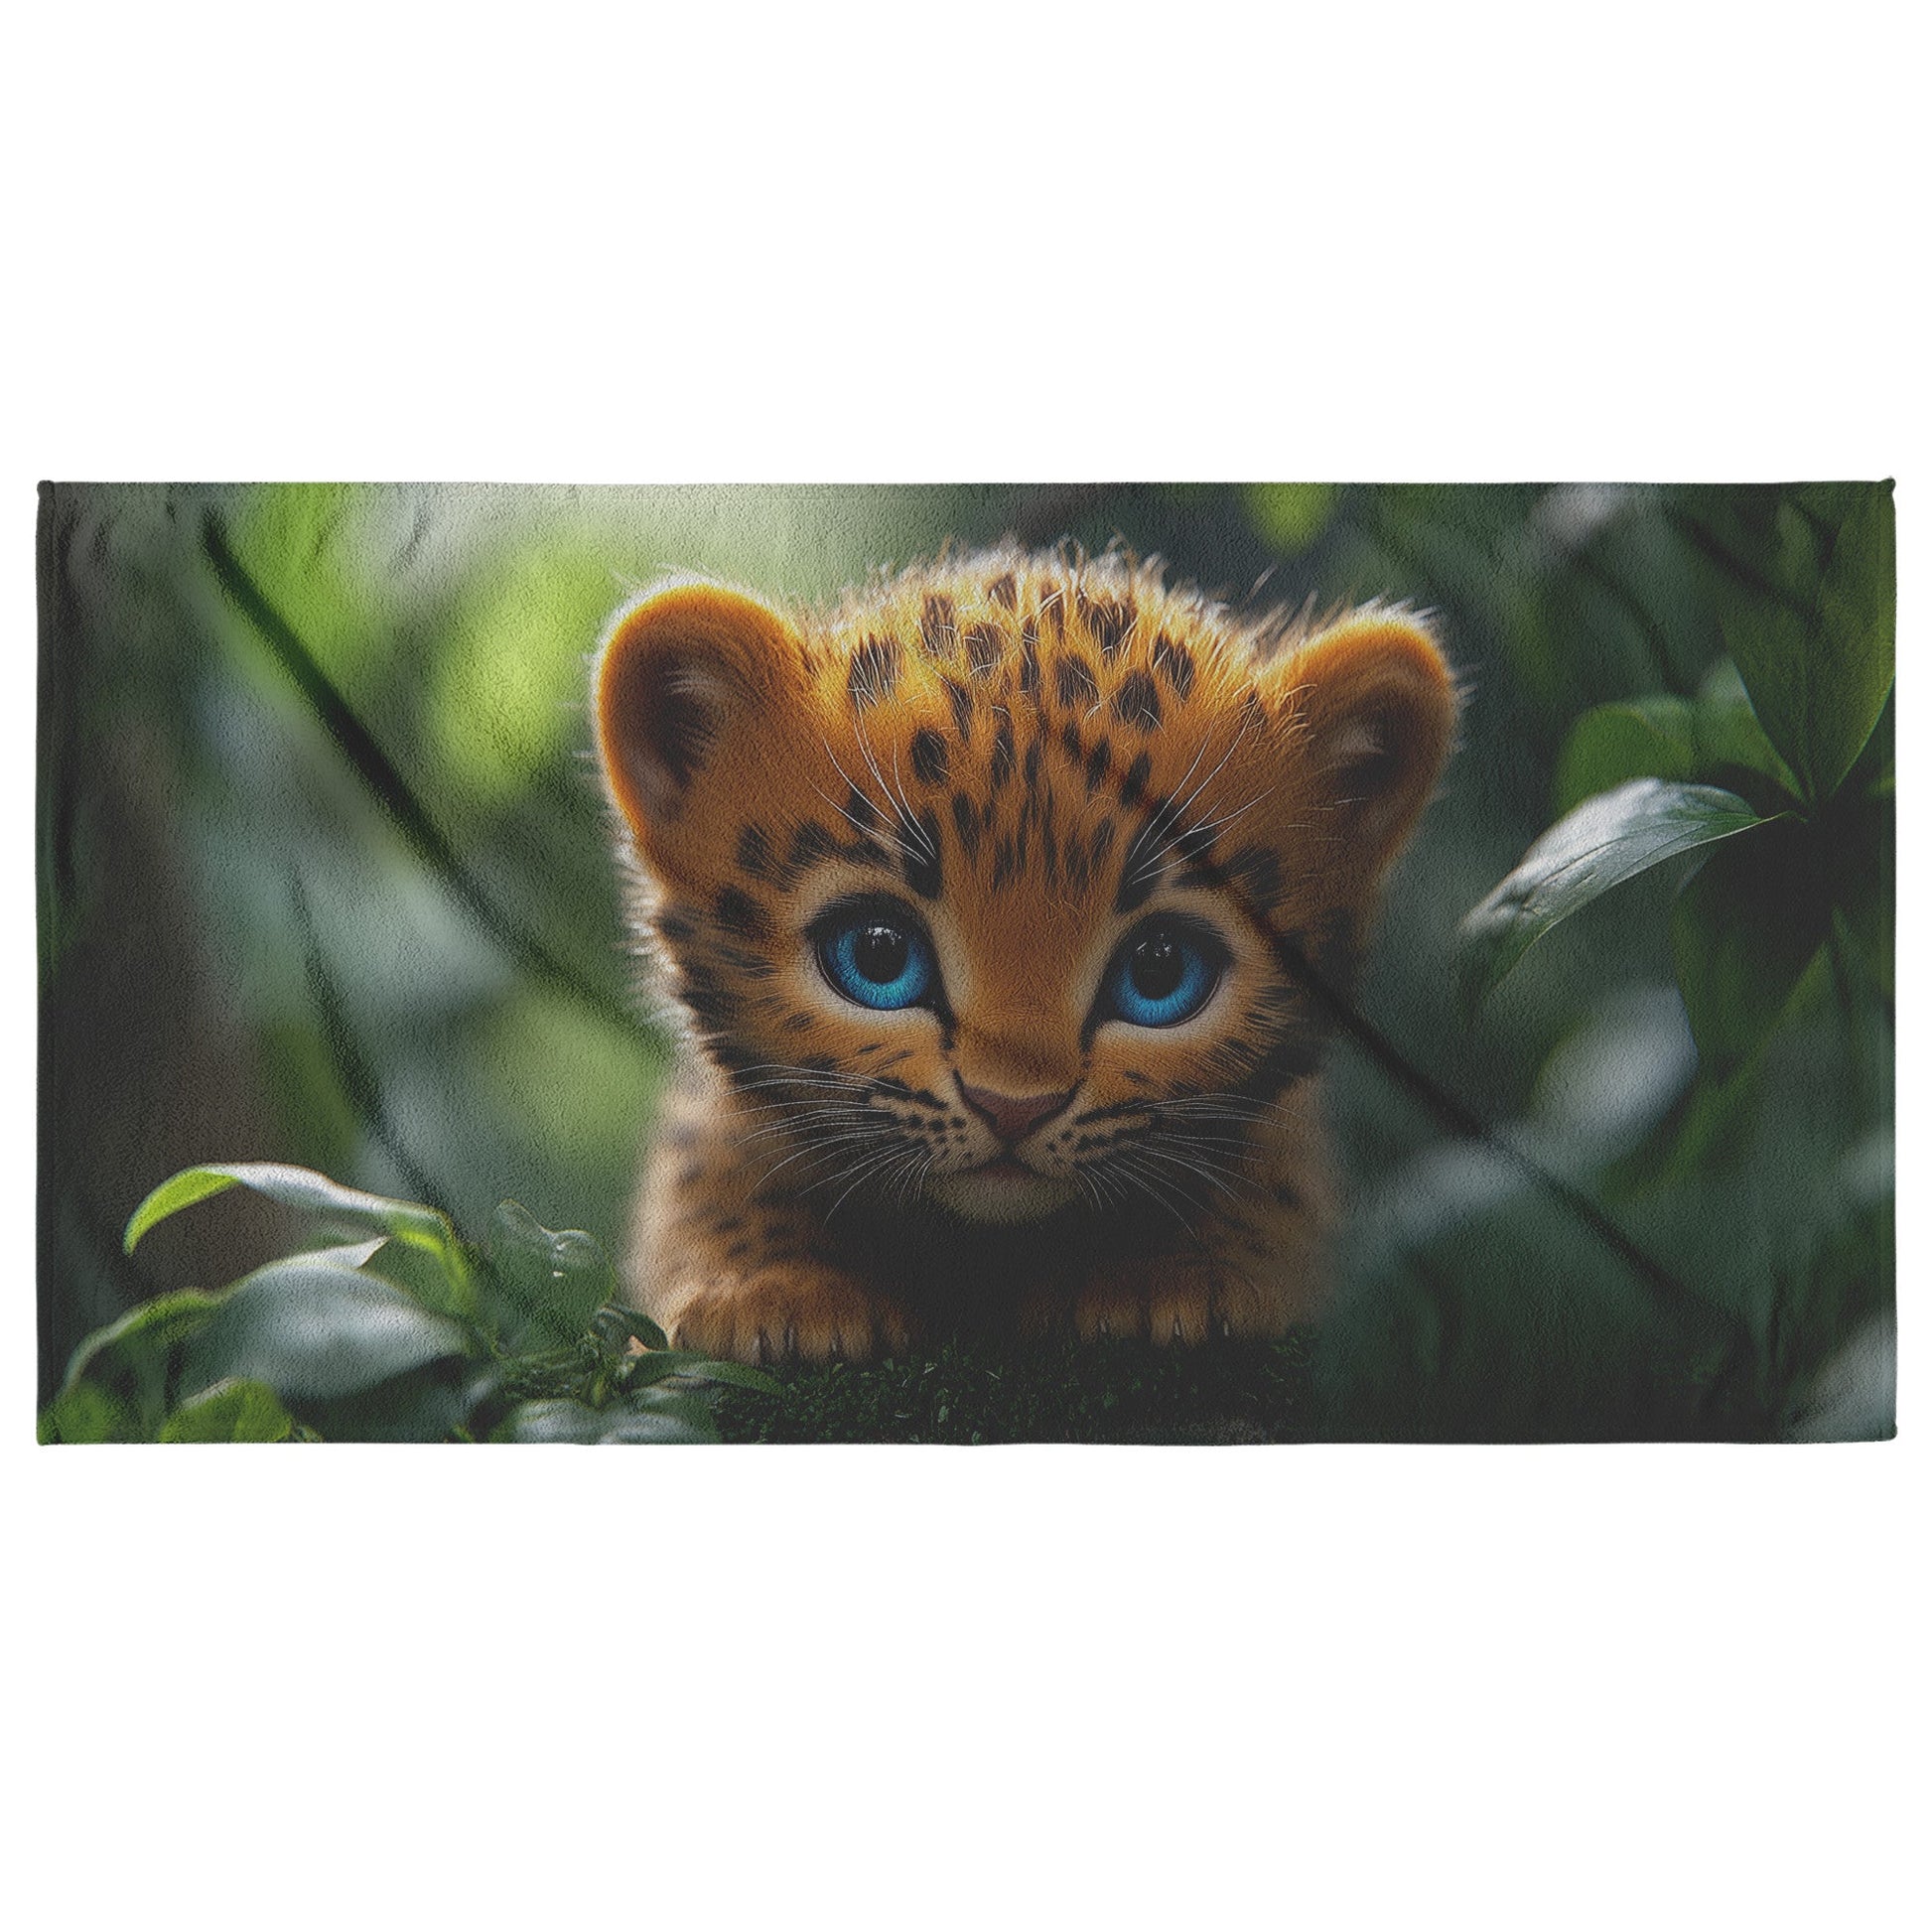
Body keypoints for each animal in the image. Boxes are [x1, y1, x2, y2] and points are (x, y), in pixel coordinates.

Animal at [593, 544, 1456, 1364]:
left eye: (1160, 970)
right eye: (878, 957)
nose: (1013, 1106)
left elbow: (1269, 1195)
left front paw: (1178, 1278)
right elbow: (711, 1188)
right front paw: (772, 1291)